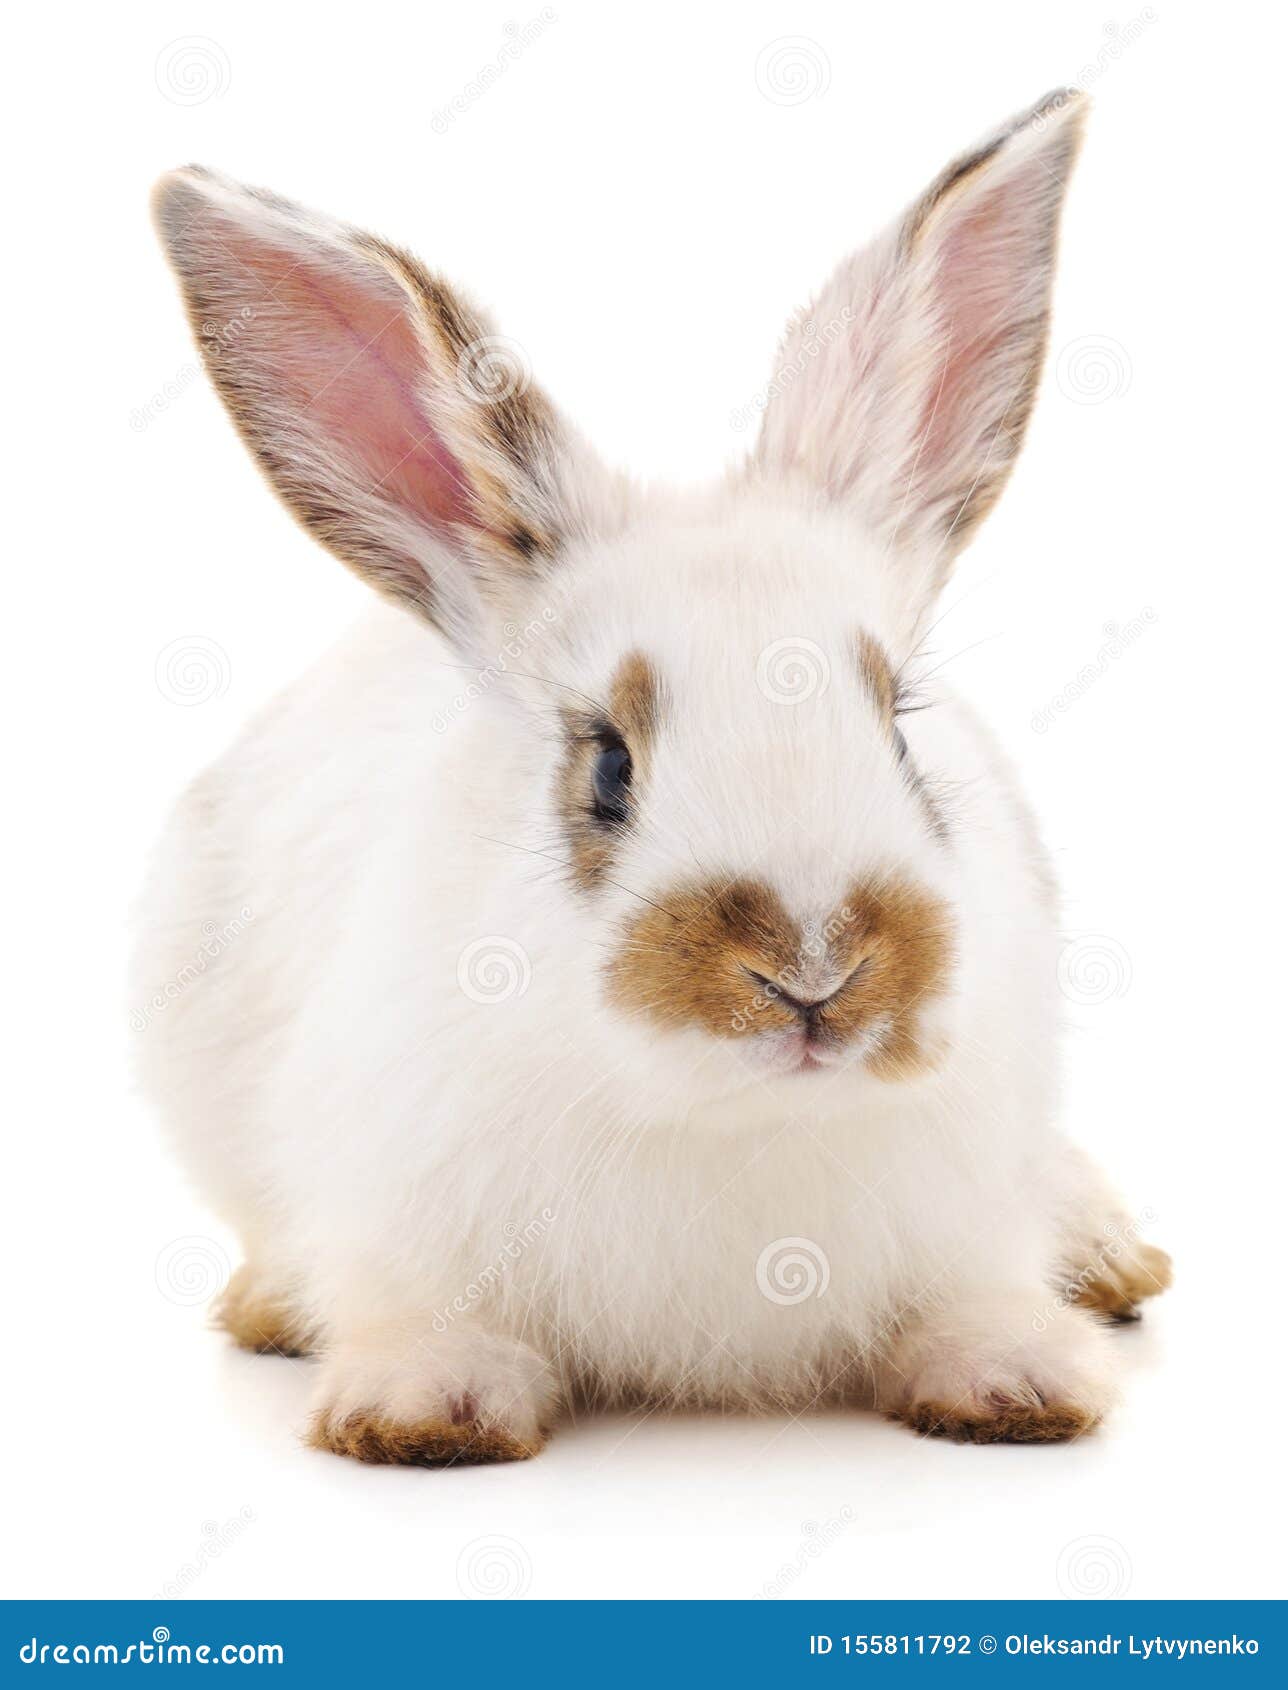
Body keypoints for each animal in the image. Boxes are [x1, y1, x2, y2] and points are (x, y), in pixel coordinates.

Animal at [135, 86, 1170, 1466]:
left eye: (898, 726)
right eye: (608, 765)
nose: (814, 970)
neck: (730, 1118)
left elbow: (975, 1300)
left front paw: (1015, 1382)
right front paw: (425, 1411)